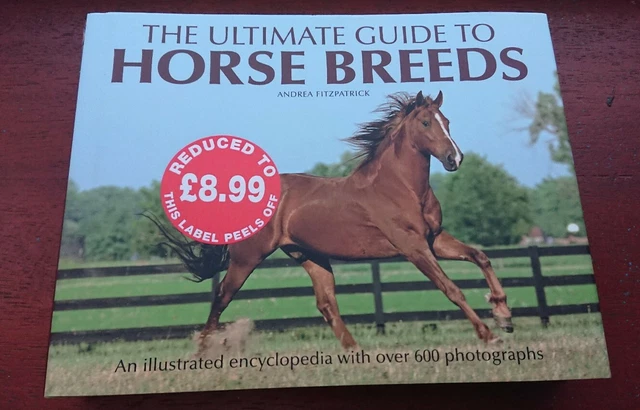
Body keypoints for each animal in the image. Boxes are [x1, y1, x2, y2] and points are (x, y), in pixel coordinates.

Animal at [154, 90, 513, 354]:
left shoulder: (434, 239)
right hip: (247, 258)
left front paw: (504, 316)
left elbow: (481, 256)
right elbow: (451, 289)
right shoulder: (412, 247)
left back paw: (355, 349)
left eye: (446, 121)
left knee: (326, 303)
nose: (455, 158)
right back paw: (203, 350)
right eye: (426, 122)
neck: (401, 188)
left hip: (309, 255)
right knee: (222, 296)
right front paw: (489, 334)